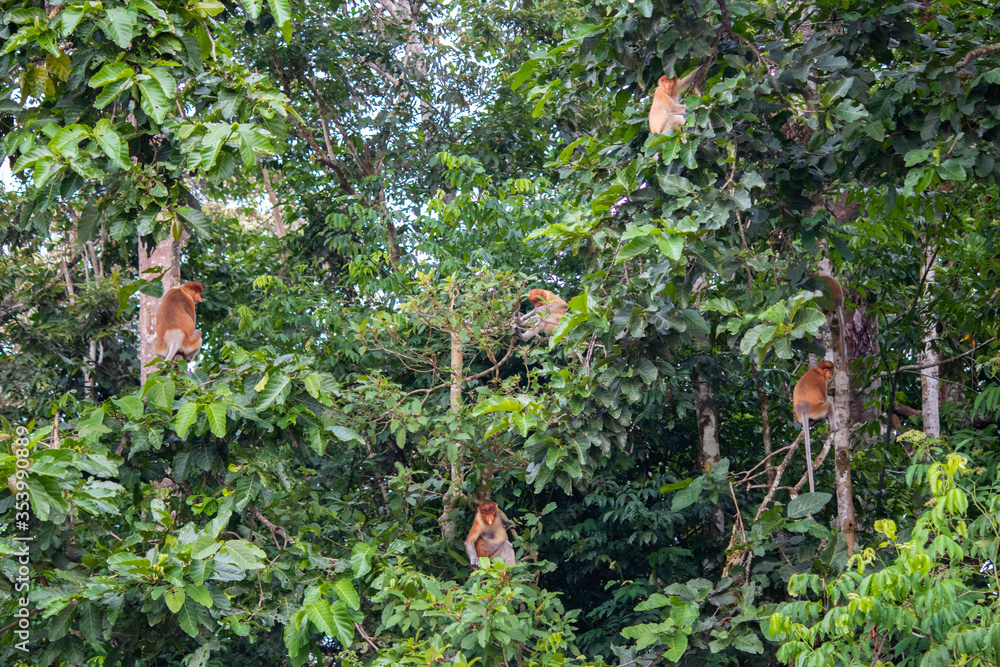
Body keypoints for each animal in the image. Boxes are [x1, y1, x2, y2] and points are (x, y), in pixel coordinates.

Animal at [792, 361, 839, 494]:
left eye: (830, 370)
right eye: (826, 371)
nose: (830, 374)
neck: (817, 371)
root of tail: (804, 409)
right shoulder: (822, 381)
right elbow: (826, 398)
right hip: (817, 409)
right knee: (828, 404)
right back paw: (833, 427)